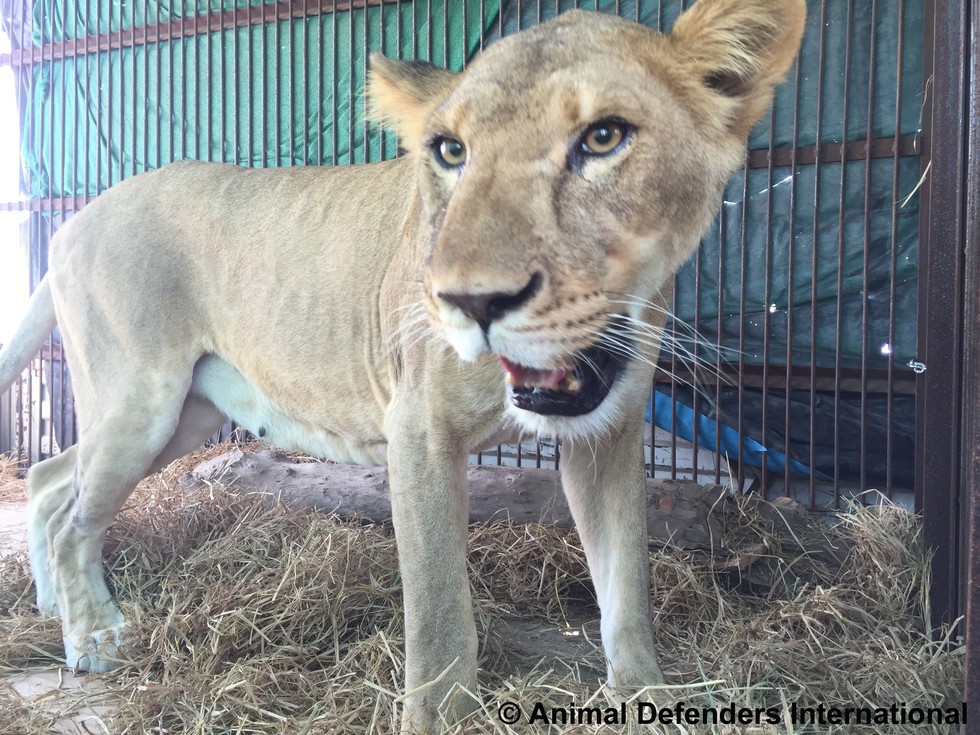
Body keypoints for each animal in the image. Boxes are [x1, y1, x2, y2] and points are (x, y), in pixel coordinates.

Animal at [0, 1, 804, 731]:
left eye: (603, 137)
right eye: (451, 151)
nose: (473, 301)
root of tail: (73, 218)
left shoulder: (606, 433)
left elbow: (627, 584)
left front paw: (646, 697)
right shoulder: (417, 427)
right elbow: (440, 606)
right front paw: (442, 715)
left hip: (182, 413)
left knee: (49, 480)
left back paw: (49, 604)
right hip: (142, 399)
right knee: (73, 516)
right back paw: (94, 638)